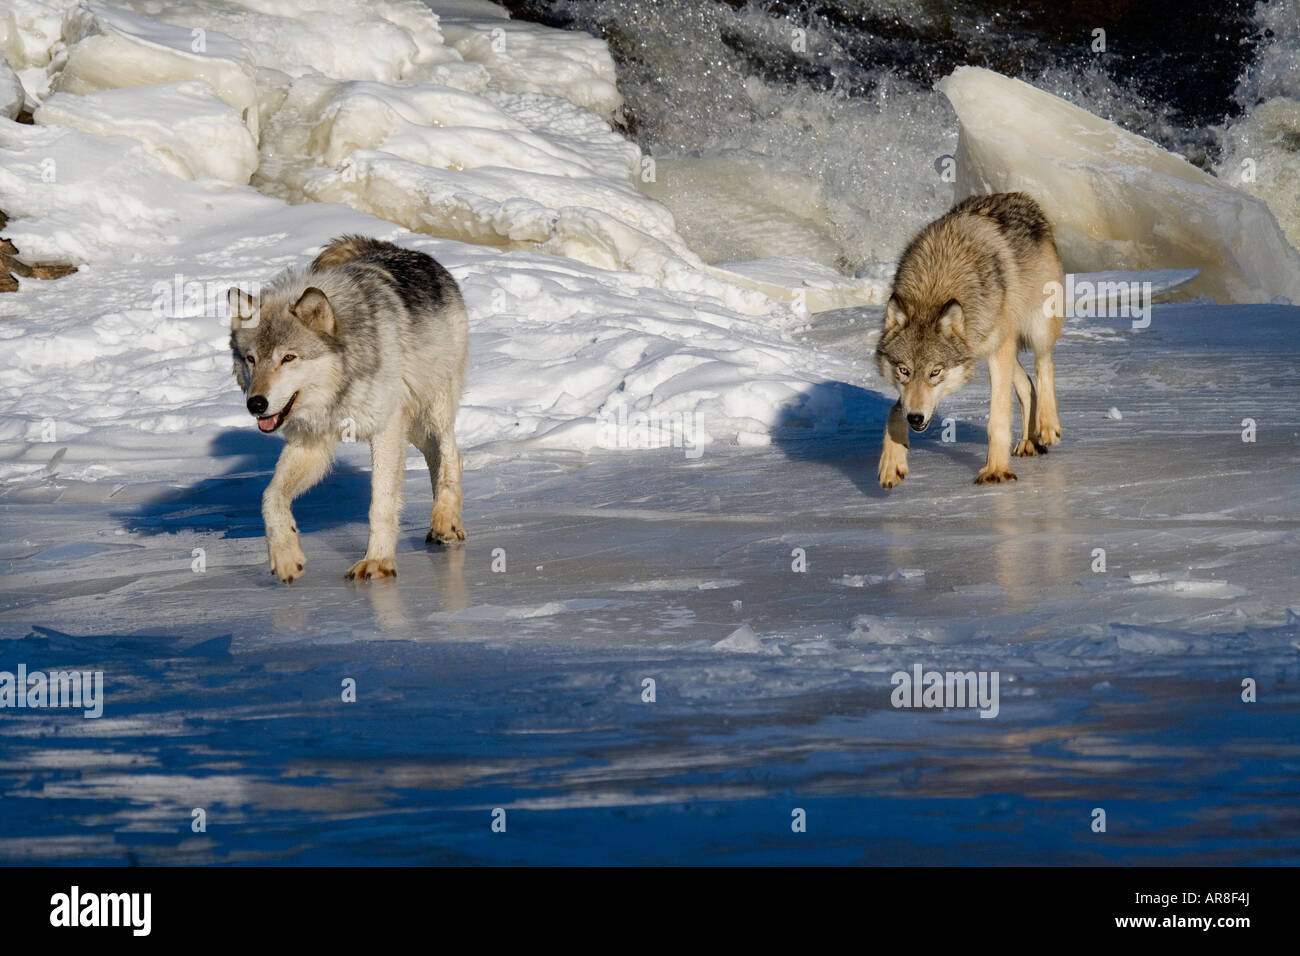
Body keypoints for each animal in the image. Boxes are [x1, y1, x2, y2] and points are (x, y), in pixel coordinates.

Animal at [228, 235, 468, 584]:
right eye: (251, 359)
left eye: (288, 358)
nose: (256, 403)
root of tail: (394, 247)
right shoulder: (311, 443)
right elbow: (270, 497)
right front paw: (286, 556)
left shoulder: (386, 429)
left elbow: (381, 503)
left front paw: (377, 561)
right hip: (412, 426)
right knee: (436, 454)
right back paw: (440, 525)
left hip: (433, 405)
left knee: (450, 452)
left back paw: (445, 523)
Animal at [874, 192, 1064, 488]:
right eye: (903, 371)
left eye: (935, 372)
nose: (916, 418)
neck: (934, 288)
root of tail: (1024, 198)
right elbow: (894, 410)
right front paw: (891, 464)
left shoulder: (1000, 348)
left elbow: (997, 419)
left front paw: (996, 470)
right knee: (1026, 383)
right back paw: (1029, 441)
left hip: (1037, 329)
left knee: (1044, 366)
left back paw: (1046, 427)